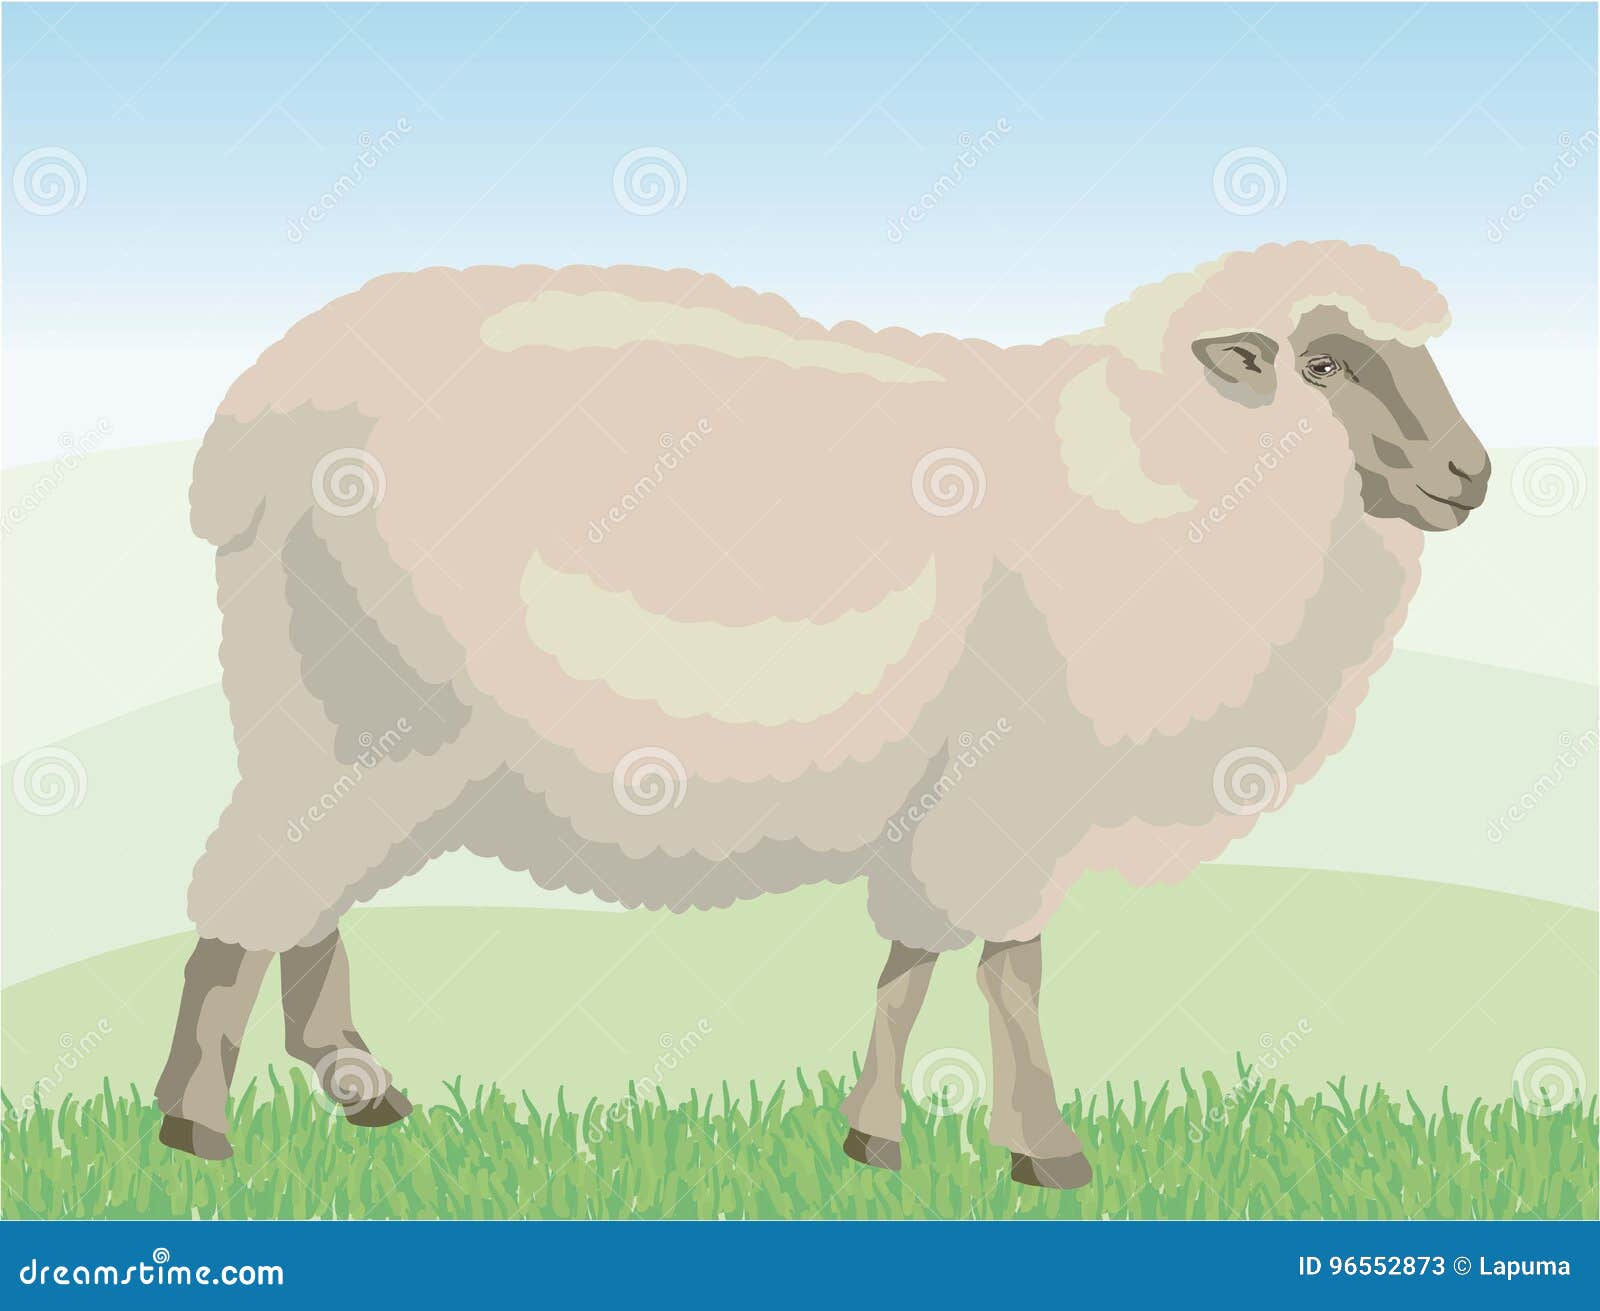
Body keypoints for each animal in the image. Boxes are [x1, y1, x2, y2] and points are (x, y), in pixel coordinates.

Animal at [155, 241, 1489, 1187]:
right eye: (1321, 366)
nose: (1467, 476)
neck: (1160, 475)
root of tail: (257, 418)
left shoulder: (952, 792)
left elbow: (912, 964)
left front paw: (876, 1138)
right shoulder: (1010, 782)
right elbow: (1009, 971)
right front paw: (1041, 1149)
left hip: (345, 719)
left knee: (301, 902)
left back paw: (359, 1089)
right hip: (364, 711)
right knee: (252, 905)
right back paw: (195, 1128)